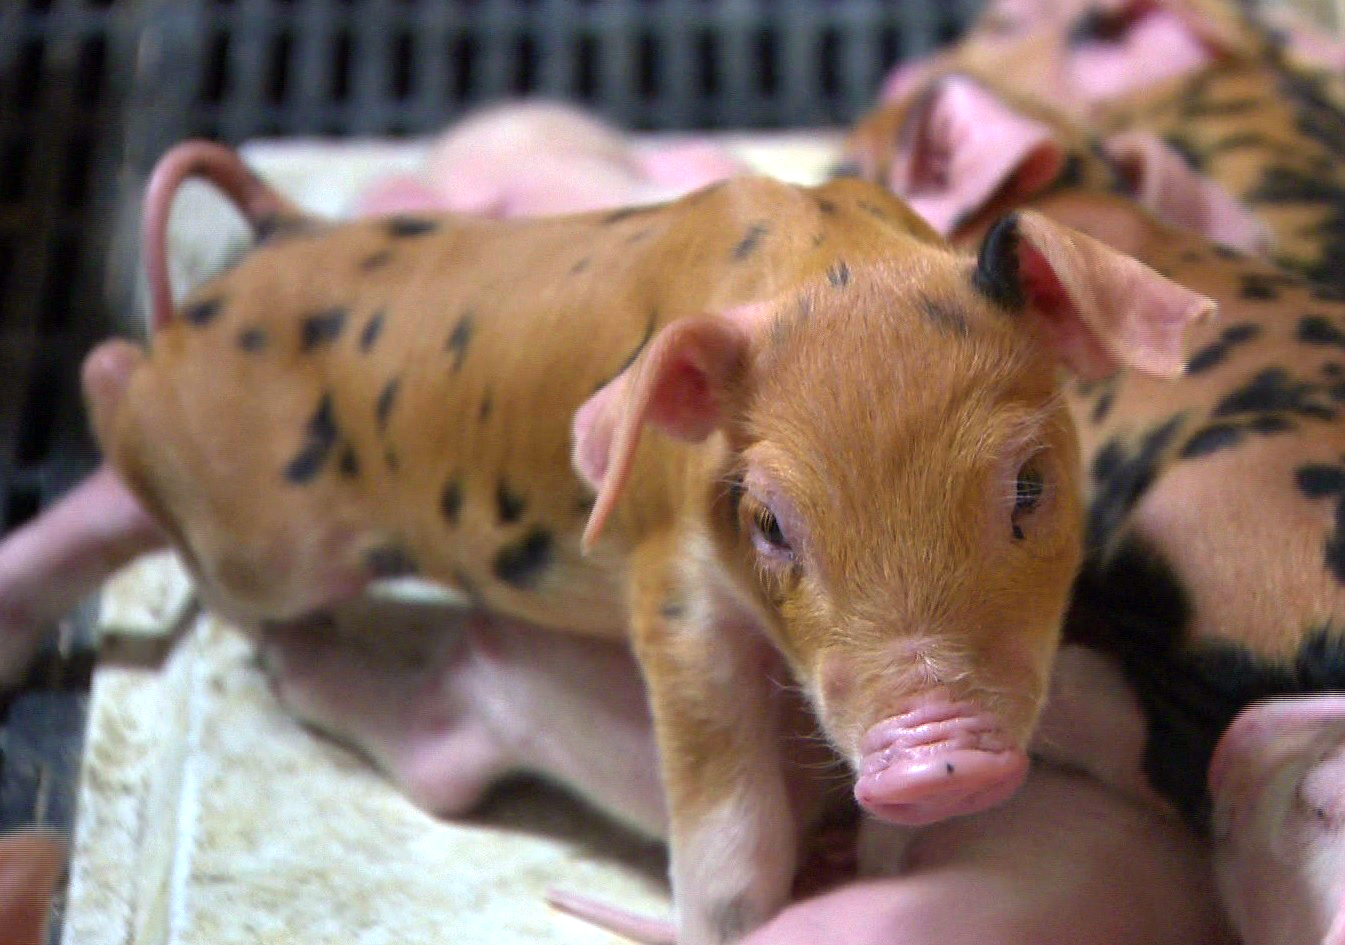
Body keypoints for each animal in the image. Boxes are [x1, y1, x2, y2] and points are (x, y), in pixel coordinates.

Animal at [62, 135, 1211, 944]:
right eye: (769, 521)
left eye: (1029, 484)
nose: (941, 764)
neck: (830, 260)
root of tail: (270, 240)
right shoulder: (673, 590)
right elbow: (733, 839)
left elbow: (1089, 700)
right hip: (258, 542)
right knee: (107, 384)